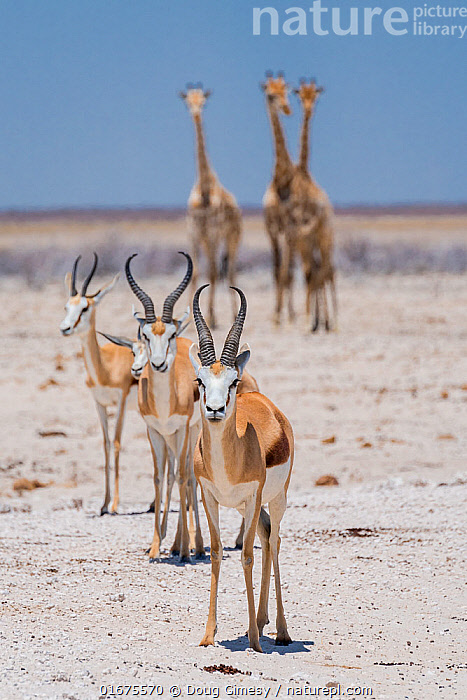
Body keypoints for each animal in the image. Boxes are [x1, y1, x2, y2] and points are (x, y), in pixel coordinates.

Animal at [180, 83, 242, 329]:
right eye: (188, 101)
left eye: (203, 102)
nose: (196, 112)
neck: (205, 188)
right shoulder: (195, 233)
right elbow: (196, 274)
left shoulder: (213, 233)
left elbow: (214, 273)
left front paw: (213, 318)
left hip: (232, 238)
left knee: (230, 272)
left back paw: (231, 314)